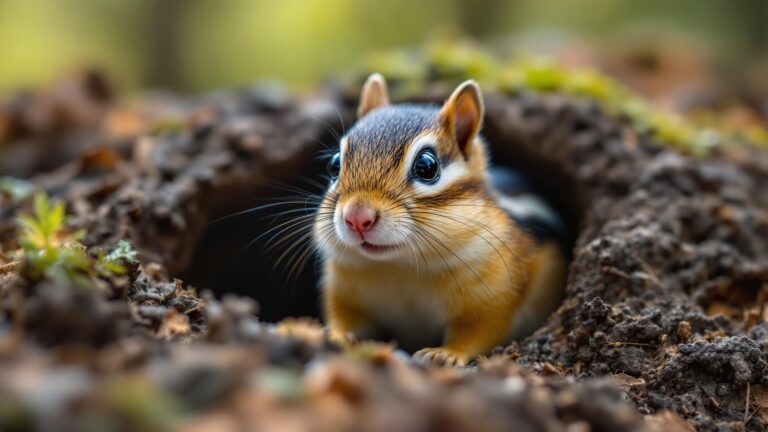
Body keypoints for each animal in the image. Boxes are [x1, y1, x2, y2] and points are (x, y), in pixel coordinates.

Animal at [313, 73, 567, 366]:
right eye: (334, 165)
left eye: (427, 167)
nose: (357, 217)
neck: (400, 266)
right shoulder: (345, 289)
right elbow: (345, 315)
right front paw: (336, 334)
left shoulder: (493, 297)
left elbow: (478, 330)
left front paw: (445, 353)